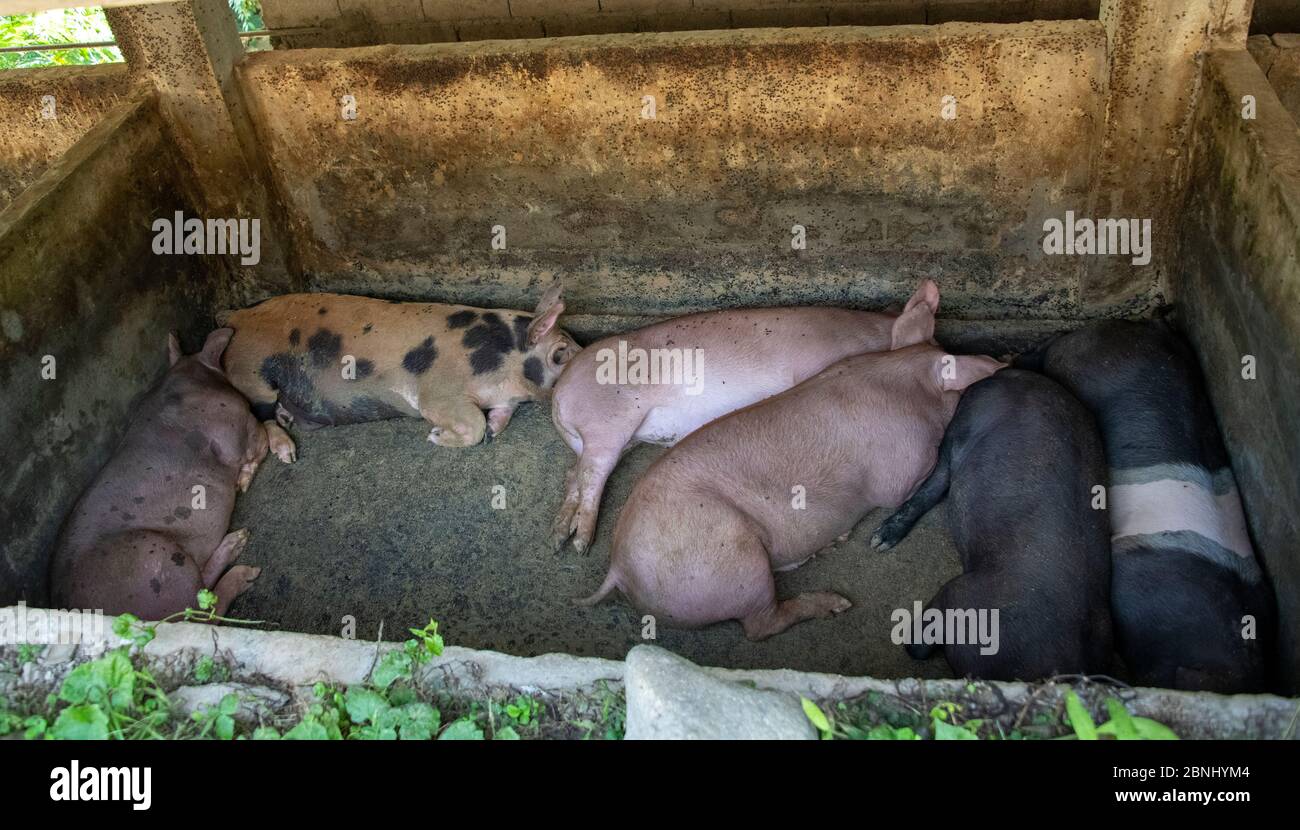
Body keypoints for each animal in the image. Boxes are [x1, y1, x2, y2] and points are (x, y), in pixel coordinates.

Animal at [50, 329, 265, 619]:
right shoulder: (234, 429)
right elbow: (261, 434)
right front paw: (243, 481)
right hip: (159, 558)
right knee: (202, 612)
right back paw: (245, 561)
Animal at [218, 285, 577, 460]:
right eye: (561, 353)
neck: (509, 364)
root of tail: (237, 316)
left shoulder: (504, 399)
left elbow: (498, 416)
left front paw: (492, 431)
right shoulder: (439, 392)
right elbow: (470, 423)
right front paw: (434, 436)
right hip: (252, 371)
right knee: (259, 412)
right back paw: (287, 454)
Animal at [550, 279, 941, 553]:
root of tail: (558, 395)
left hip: (613, 438)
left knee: (574, 474)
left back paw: (559, 537)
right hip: (608, 420)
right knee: (592, 474)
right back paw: (580, 544)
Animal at [577, 306, 1004, 639]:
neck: (901, 380)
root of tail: (618, 568)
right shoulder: (900, 472)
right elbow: (904, 488)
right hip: (733, 561)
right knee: (760, 625)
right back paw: (835, 603)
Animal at [868, 369, 1114, 681]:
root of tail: (1011, 372)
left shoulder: (961, 594)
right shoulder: (962, 594)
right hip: (965, 418)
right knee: (937, 478)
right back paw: (879, 542)